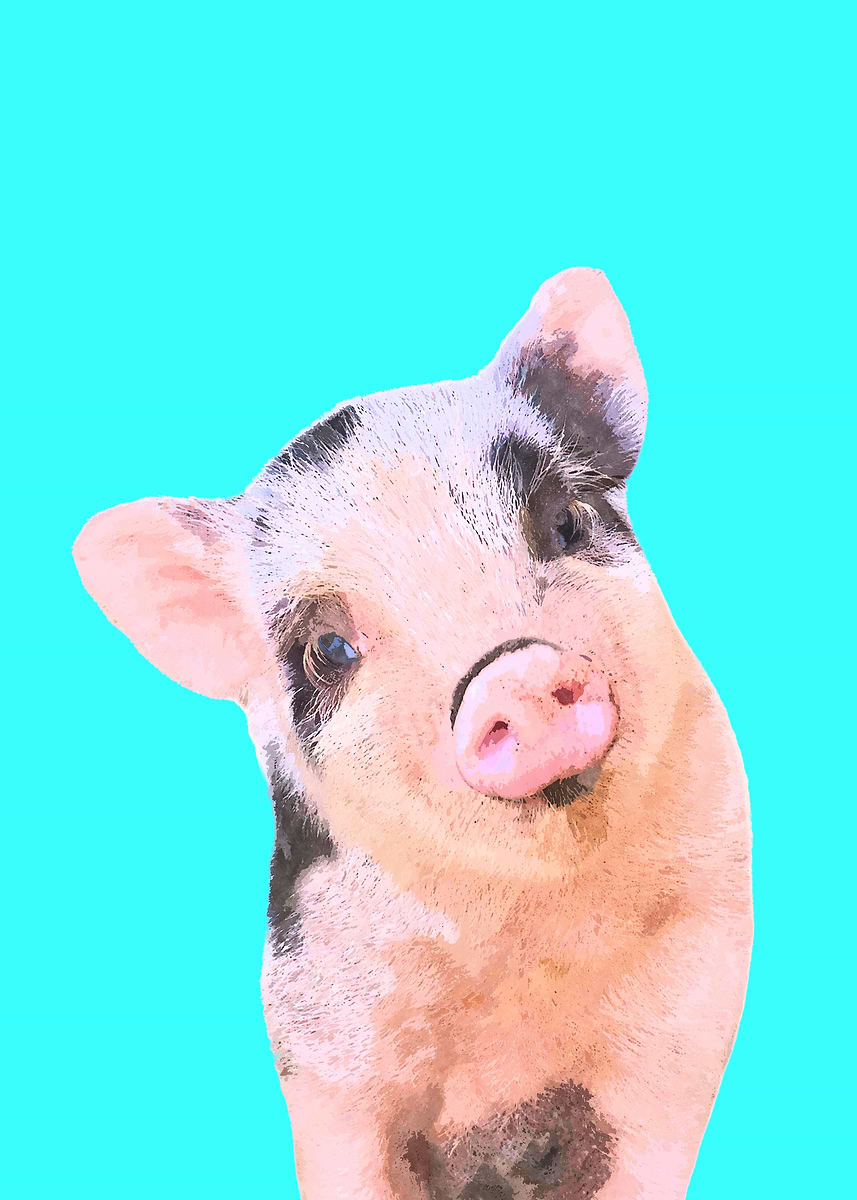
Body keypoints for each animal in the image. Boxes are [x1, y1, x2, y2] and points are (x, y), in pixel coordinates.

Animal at [73, 269, 753, 1200]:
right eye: (328, 649)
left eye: (567, 522)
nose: (515, 675)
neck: (527, 935)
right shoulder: (323, 1051)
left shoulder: (690, 1002)